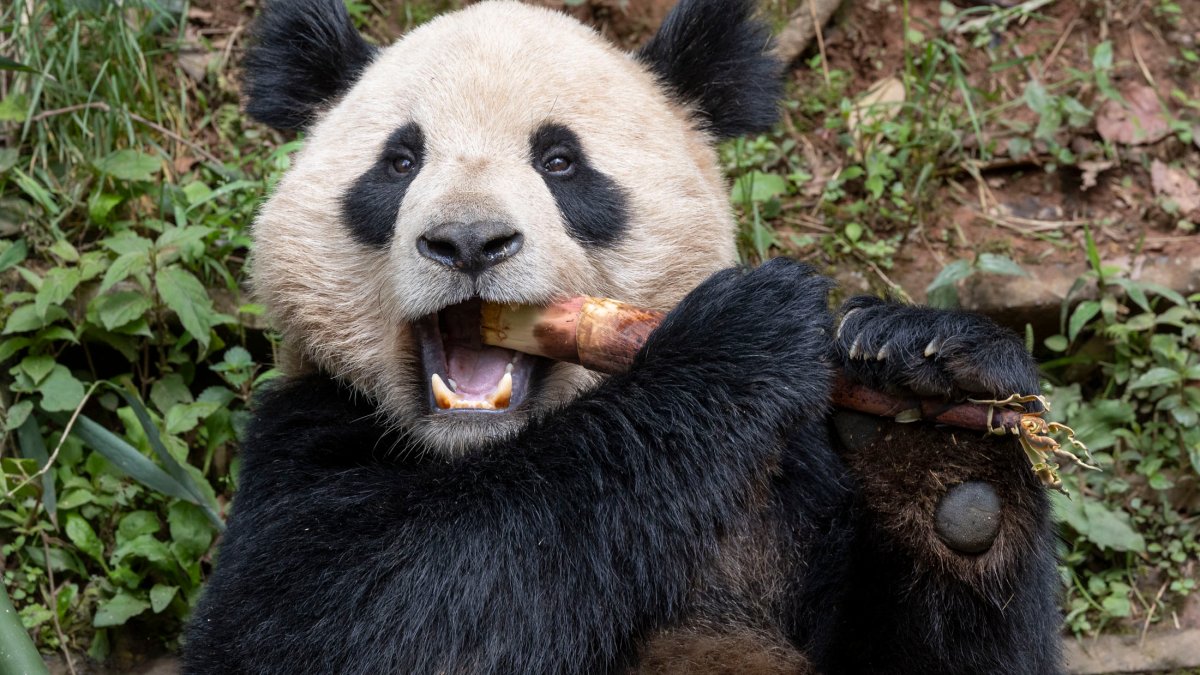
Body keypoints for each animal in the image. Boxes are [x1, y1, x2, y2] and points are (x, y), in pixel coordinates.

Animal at [183, 0, 1063, 672]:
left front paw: (935, 409)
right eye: (399, 162)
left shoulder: (793, 489)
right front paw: (739, 337)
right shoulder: (305, 436)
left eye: (561, 161)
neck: (482, 453)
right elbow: (361, 620)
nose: (467, 241)